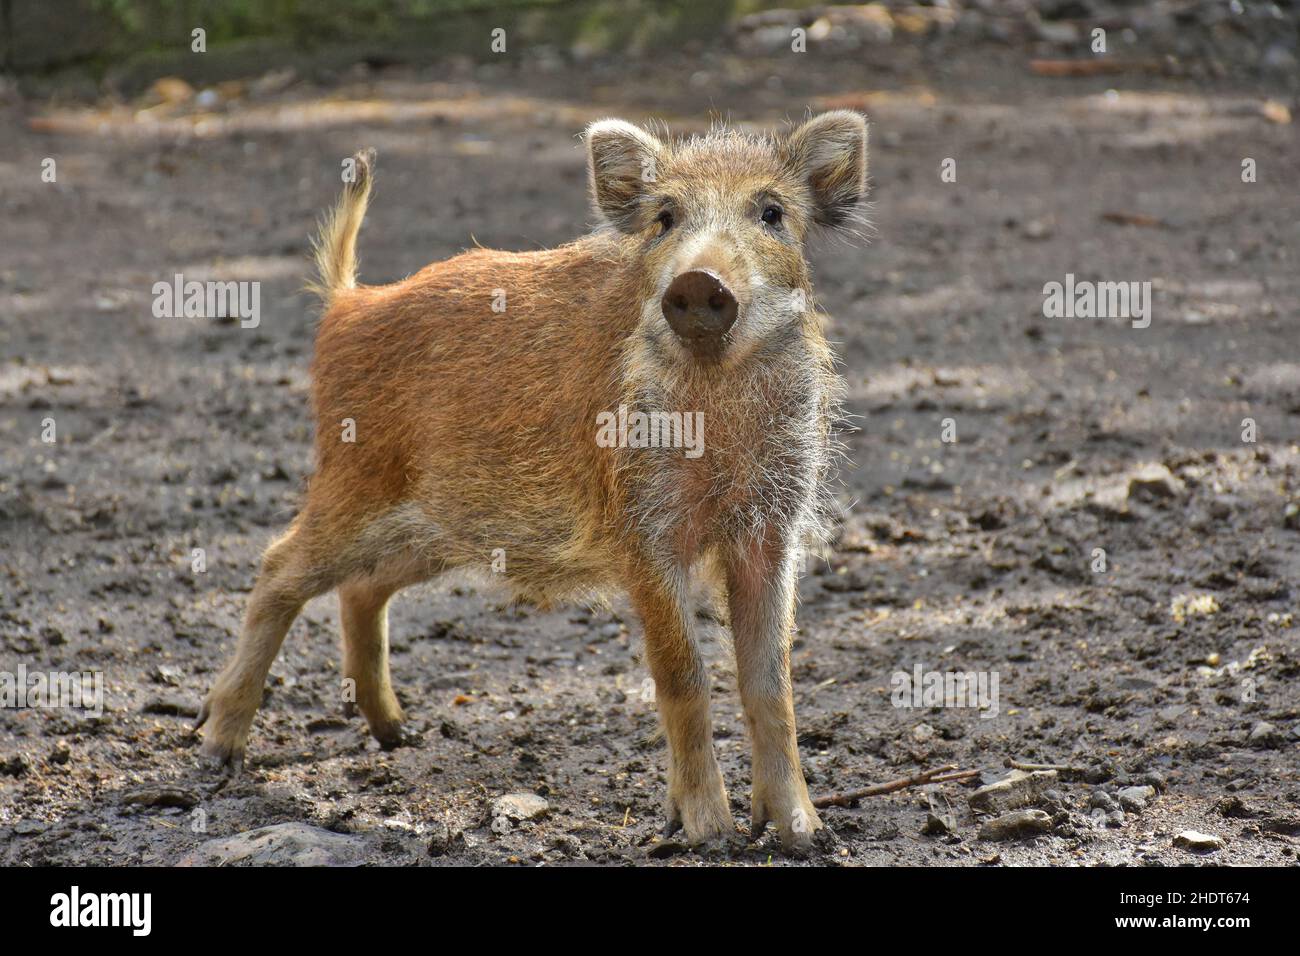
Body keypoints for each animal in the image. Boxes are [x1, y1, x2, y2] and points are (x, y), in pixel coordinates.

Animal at [196, 111, 868, 852]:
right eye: (665, 217)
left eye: (772, 213)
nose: (699, 281)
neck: (717, 412)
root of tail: (346, 304)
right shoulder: (642, 530)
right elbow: (682, 674)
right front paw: (706, 833)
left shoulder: (771, 528)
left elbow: (771, 681)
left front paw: (806, 833)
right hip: (354, 487)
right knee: (277, 567)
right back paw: (219, 751)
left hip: (436, 525)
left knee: (362, 589)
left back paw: (398, 734)